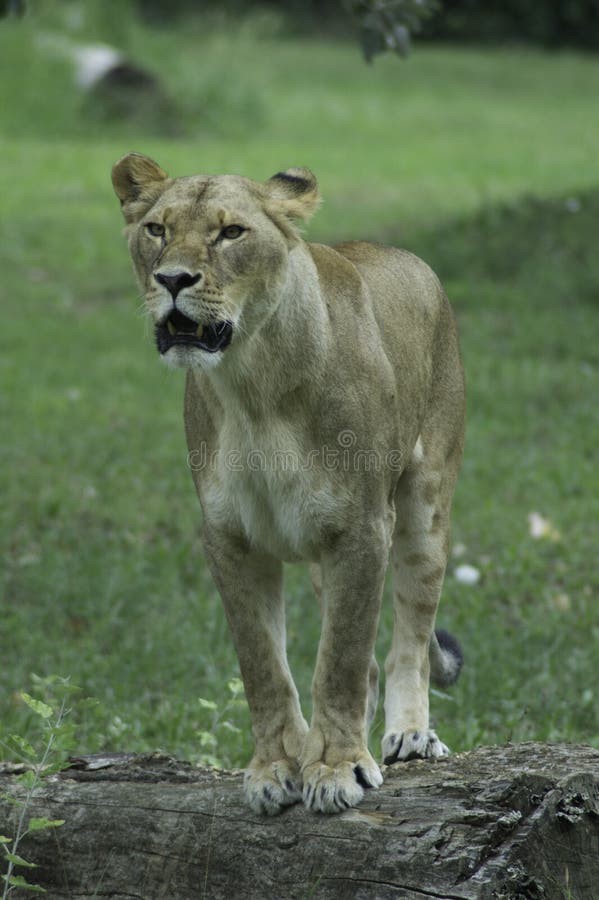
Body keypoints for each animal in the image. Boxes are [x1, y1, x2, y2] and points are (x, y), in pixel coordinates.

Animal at [111, 153, 466, 815]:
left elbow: (342, 659)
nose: (172, 279)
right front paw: (278, 767)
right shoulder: (231, 537)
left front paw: (337, 768)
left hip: (425, 508)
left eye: (231, 233)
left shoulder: (361, 529)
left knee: (409, 638)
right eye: (156, 230)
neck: (254, 385)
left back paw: (409, 735)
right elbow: (265, 666)